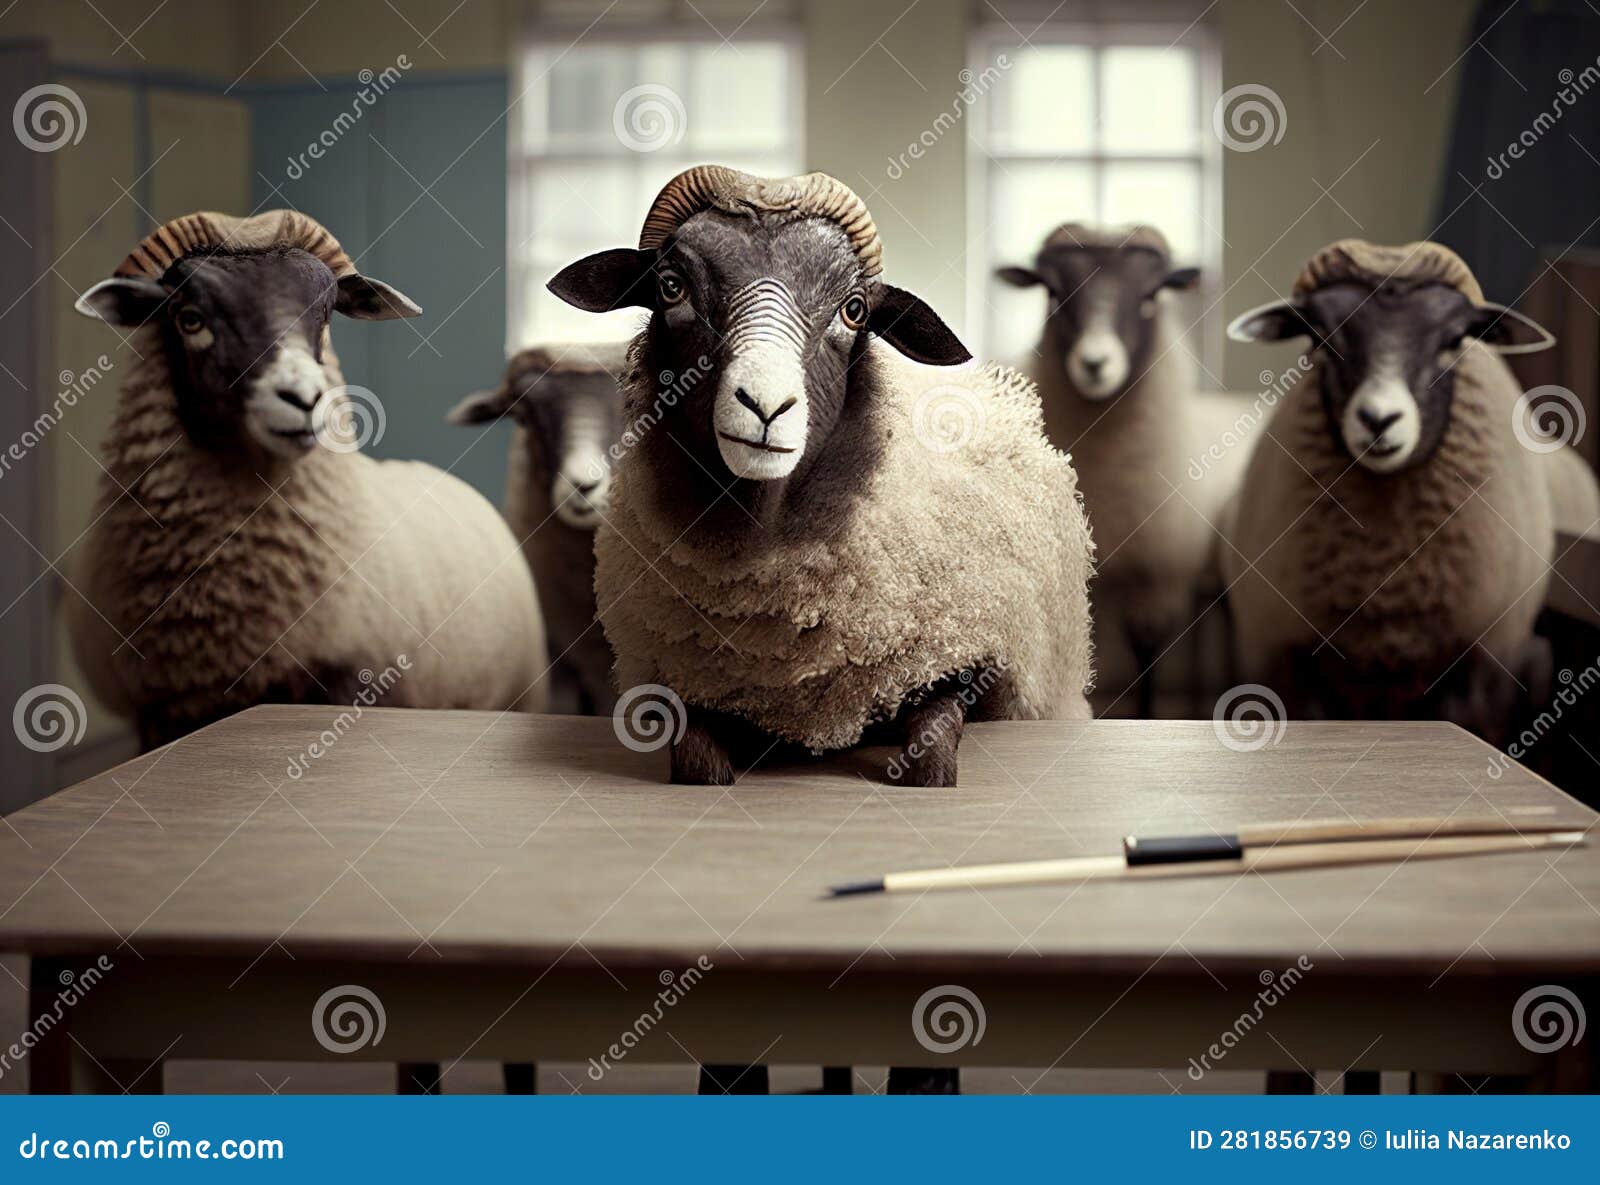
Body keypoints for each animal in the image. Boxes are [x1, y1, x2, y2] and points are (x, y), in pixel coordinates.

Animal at [548, 164, 1095, 790]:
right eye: (671, 286)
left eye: (854, 308)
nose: (764, 406)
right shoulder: (681, 678)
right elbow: (697, 764)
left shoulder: (961, 658)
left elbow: (932, 759)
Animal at [1221, 238, 1600, 737]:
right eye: (1319, 336)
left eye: (1455, 339)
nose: (1379, 419)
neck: (1390, 575)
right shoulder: (1283, 662)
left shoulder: (1483, 674)